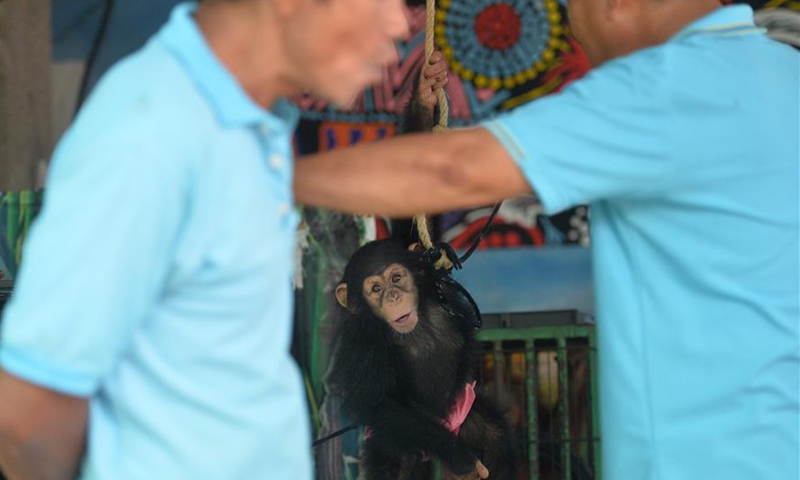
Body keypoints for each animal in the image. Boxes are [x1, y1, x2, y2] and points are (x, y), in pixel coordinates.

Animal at [326, 238, 517, 480]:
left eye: (396, 278)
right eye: (376, 289)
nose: (393, 296)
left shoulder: (444, 293)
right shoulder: (361, 343)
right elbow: (378, 402)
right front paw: (457, 455)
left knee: (496, 439)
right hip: (396, 438)